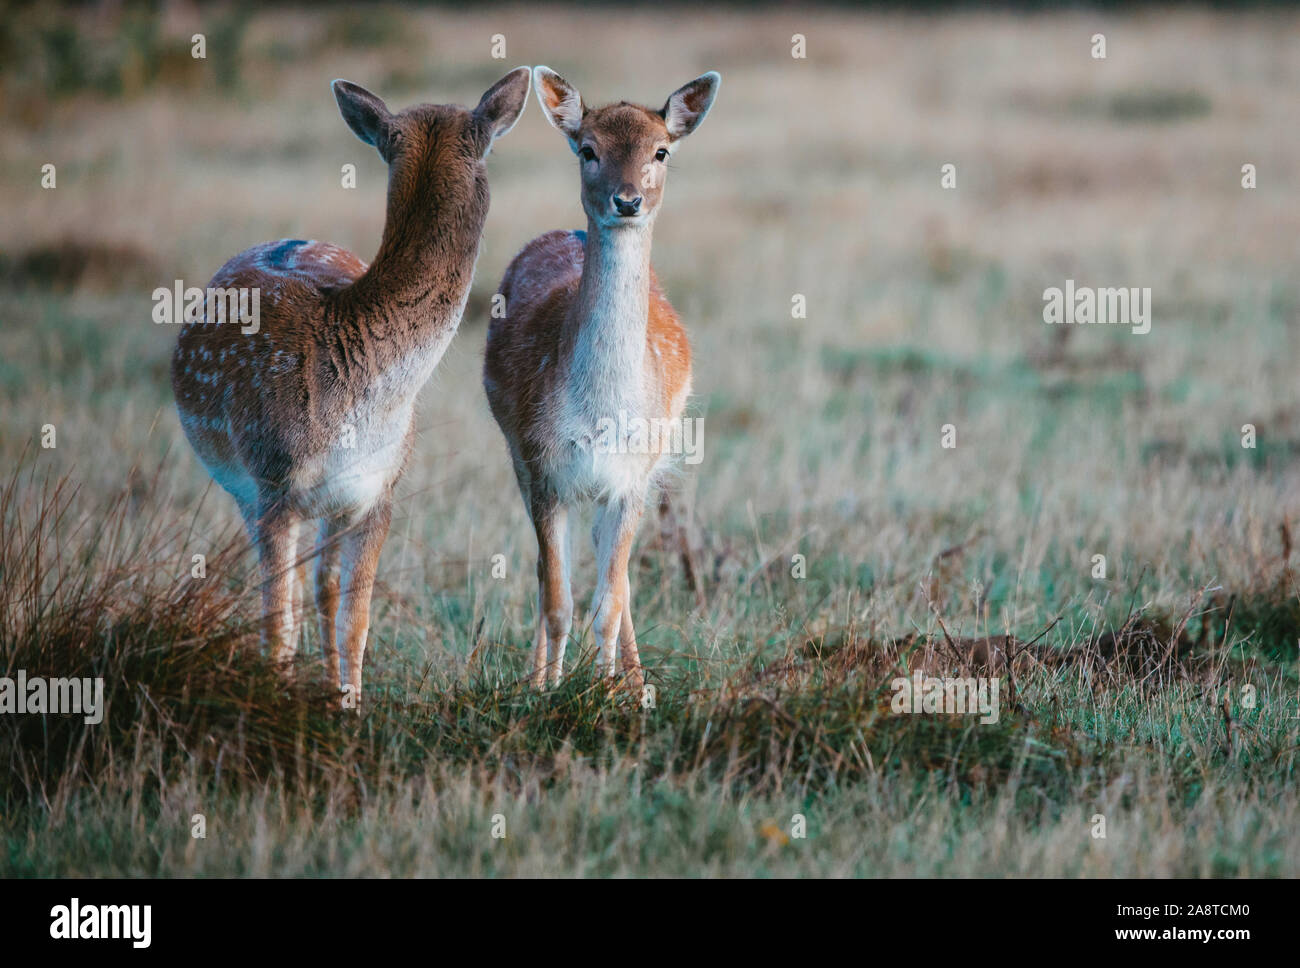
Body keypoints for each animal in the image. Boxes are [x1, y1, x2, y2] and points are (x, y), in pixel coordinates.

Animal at [172, 68, 531, 707]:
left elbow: (357, 616)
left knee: (323, 587)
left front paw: (351, 707)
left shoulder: (379, 492)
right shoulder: (273, 478)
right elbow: (277, 621)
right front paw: (278, 704)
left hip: (330, 506)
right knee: (288, 590)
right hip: (245, 486)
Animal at [483, 67, 720, 693]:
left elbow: (609, 601)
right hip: (518, 455)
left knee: (619, 581)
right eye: (588, 150)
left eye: (661, 150)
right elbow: (557, 597)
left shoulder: (632, 477)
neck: (597, 414)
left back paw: (636, 684)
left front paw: (613, 693)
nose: (628, 199)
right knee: (548, 571)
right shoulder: (543, 465)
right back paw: (536, 675)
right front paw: (546, 692)